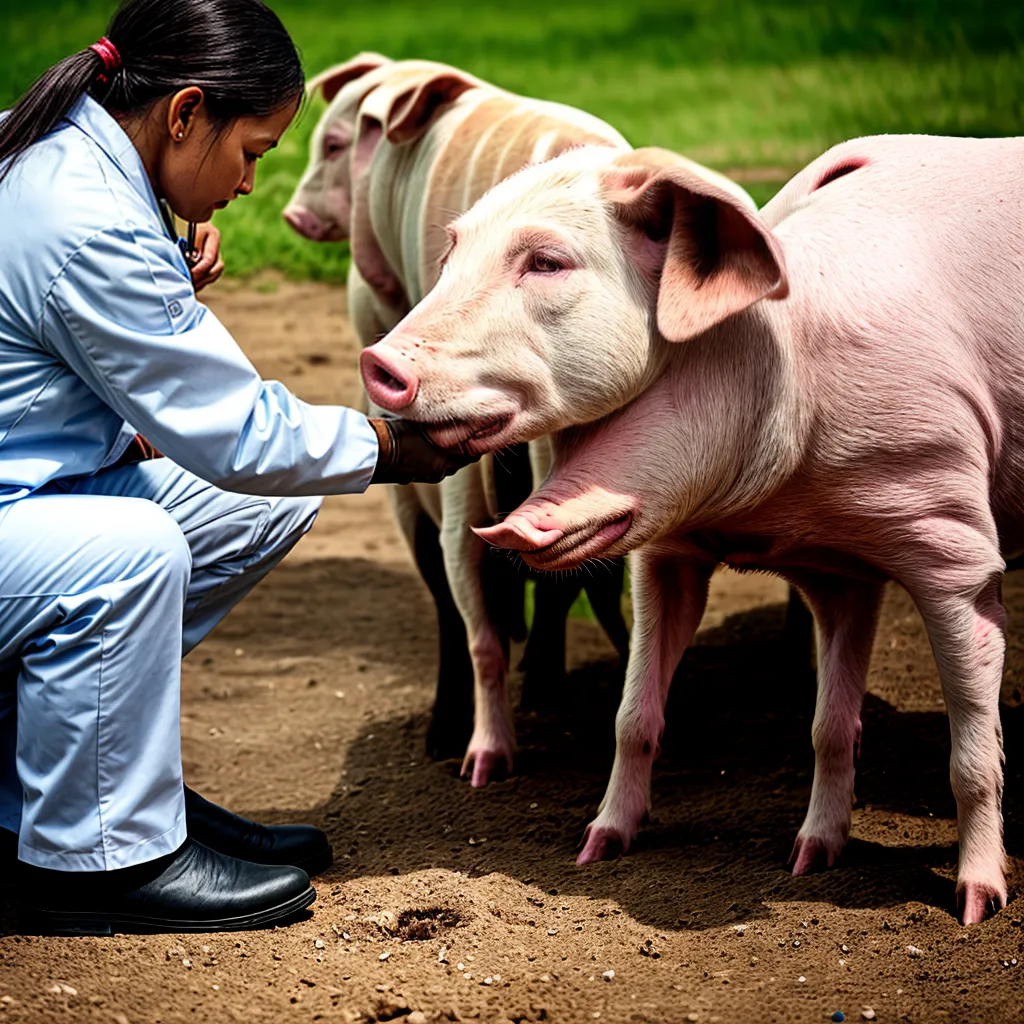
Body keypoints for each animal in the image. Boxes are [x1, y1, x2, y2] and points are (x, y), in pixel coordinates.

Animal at [360, 137, 1024, 924]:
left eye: (546, 262)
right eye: (451, 253)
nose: (376, 361)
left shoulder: (953, 541)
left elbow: (970, 753)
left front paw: (976, 906)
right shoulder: (795, 569)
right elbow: (680, 718)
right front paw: (609, 848)